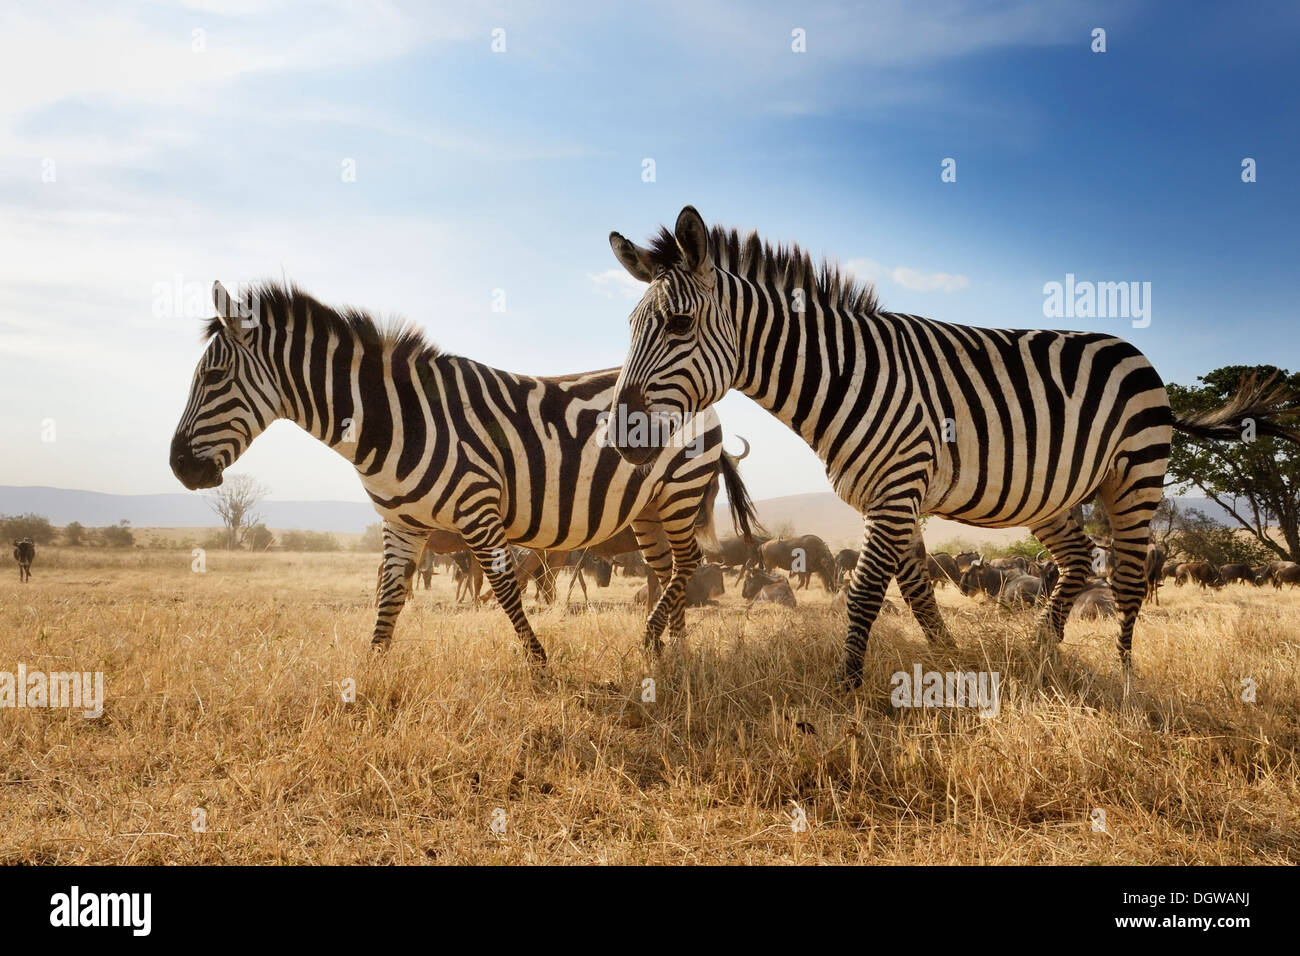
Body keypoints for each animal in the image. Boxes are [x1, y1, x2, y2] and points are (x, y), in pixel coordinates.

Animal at [170, 280, 758, 664]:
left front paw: (540, 665)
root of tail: (706, 401)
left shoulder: (477, 509)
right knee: (668, 568)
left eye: (213, 376)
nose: (177, 466)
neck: (395, 420)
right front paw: (371, 675)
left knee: (687, 563)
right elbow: (389, 595)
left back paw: (657, 640)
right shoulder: (401, 523)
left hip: (681, 494)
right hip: (648, 508)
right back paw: (671, 648)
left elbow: (504, 590)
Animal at [604, 206, 1300, 690]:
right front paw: (951, 666)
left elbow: (866, 594)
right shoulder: (892, 498)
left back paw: (1126, 680)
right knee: (1078, 562)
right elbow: (917, 592)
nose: (622, 436)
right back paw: (1041, 654)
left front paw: (845, 693)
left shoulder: (897, 487)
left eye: (680, 325)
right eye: (631, 327)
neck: (842, 376)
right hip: (1054, 495)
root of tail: (1139, 355)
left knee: (1127, 580)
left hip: (1135, 478)